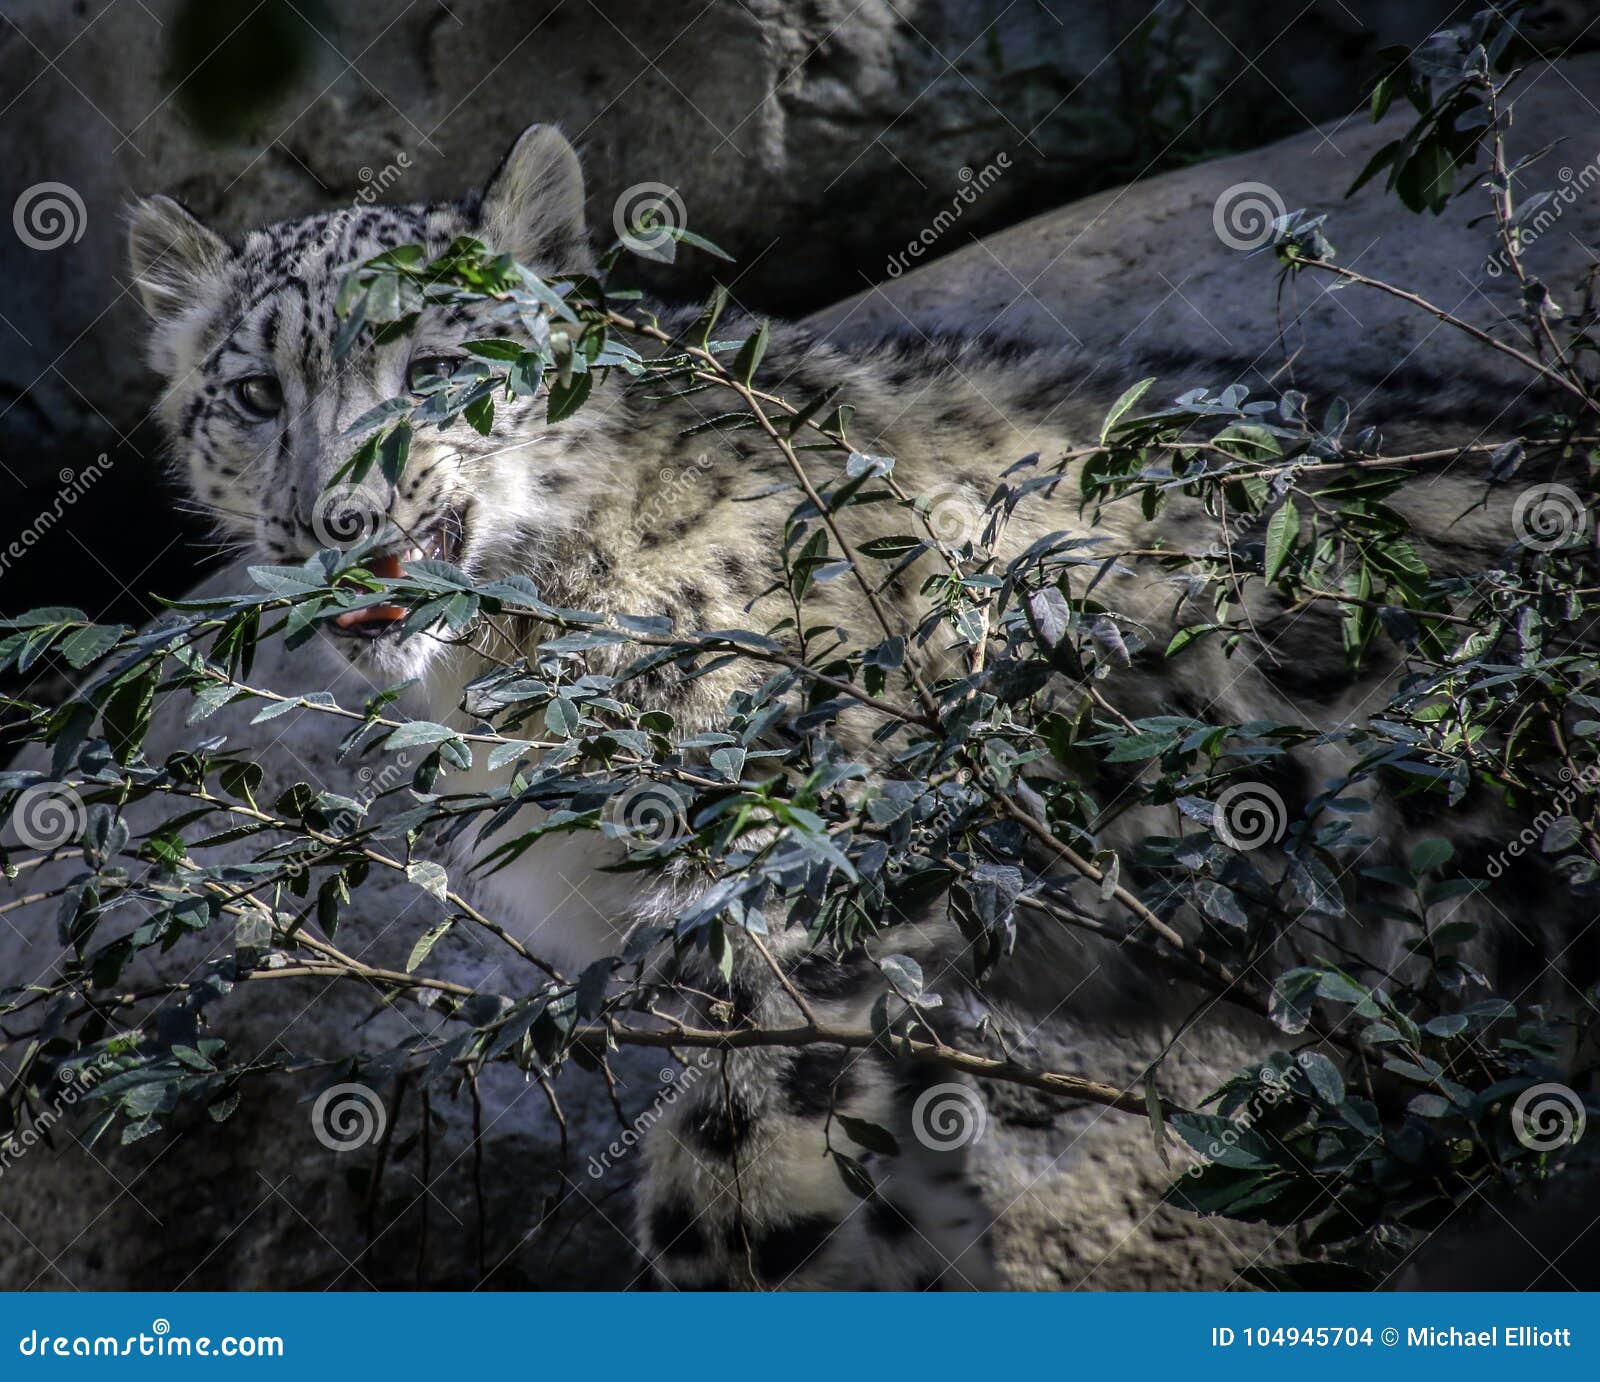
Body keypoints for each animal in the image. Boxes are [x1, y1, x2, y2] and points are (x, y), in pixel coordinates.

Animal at [127, 123, 1581, 1291]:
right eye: (254, 392)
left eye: (435, 365)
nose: (343, 516)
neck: (492, 675)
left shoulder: (778, 885)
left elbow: (731, 1167)